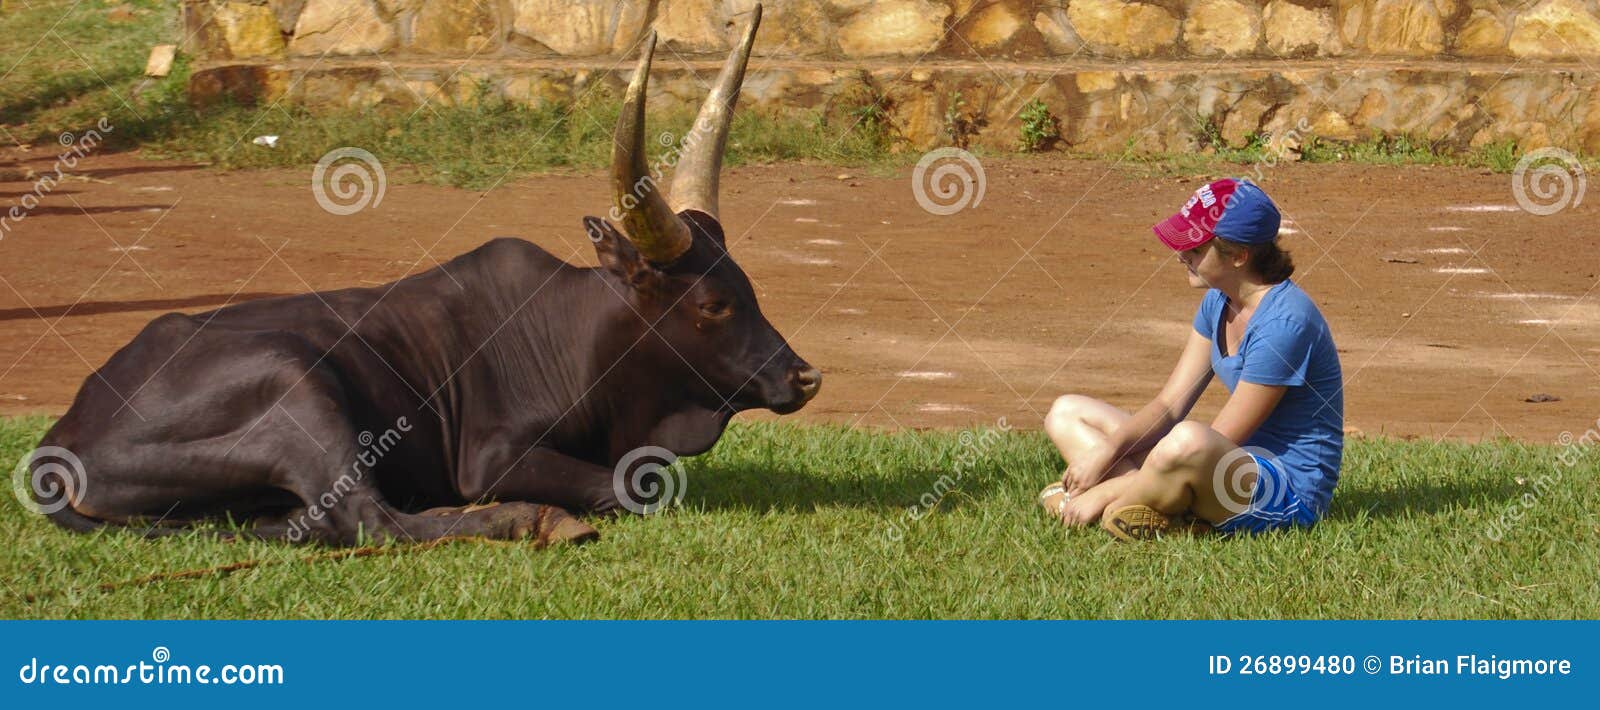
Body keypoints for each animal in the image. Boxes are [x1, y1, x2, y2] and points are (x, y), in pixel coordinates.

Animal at [26, 6, 819, 546]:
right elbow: (637, 488)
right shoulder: (492, 457)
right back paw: (533, 520)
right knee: (364, 517)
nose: (804, 376)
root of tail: (63, 439)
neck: (582, 341)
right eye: (713, 304)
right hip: (299, 388)